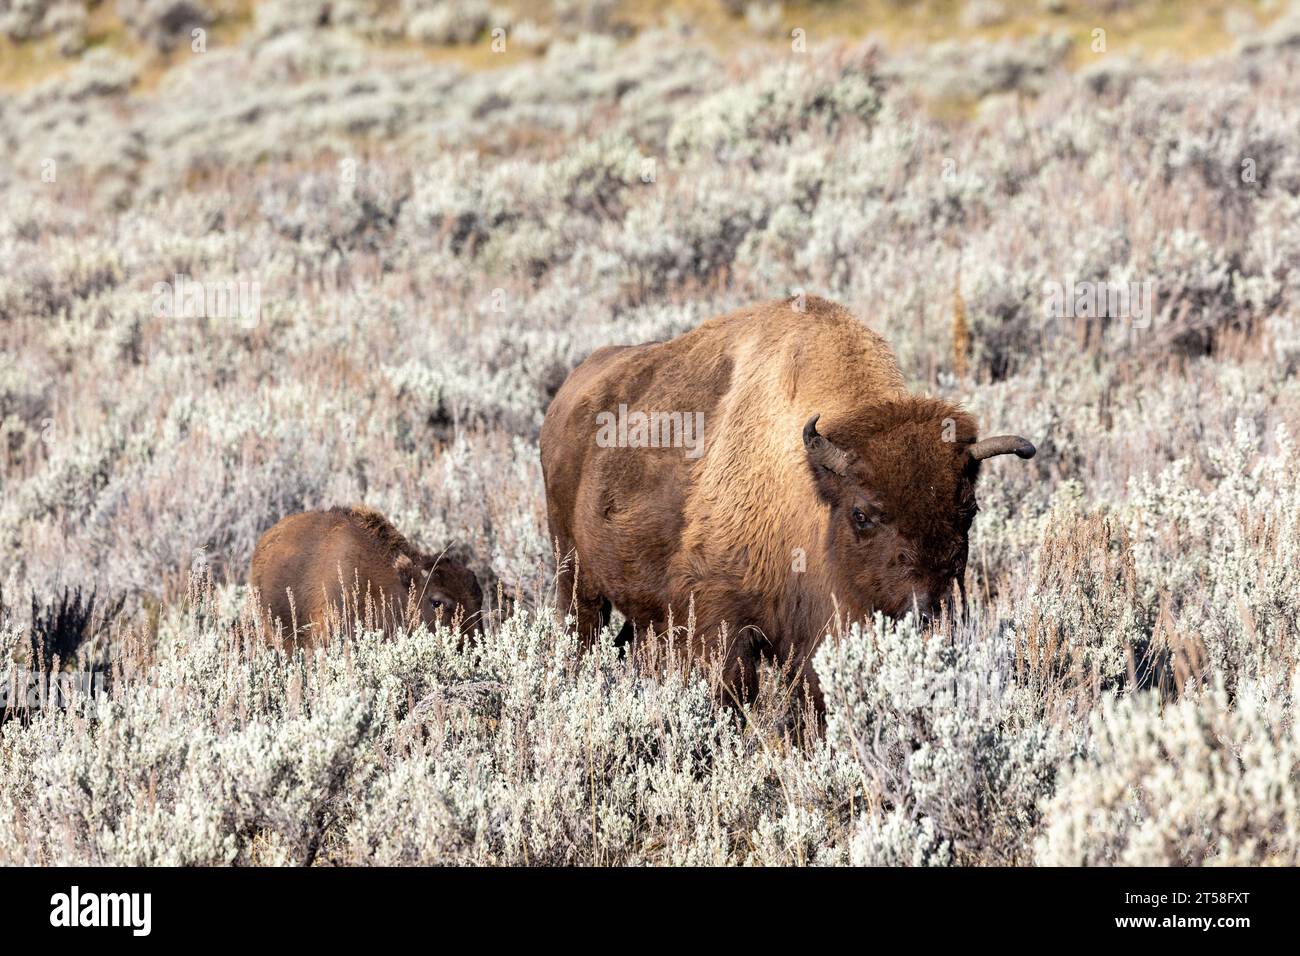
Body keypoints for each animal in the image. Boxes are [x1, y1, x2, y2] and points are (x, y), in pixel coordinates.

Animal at [539, 295, 1035, 700]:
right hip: (574, 572)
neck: (811, 487)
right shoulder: (720, 617)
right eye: (861, 514)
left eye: (969, 510)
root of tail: (568, 393)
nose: (926, 611)